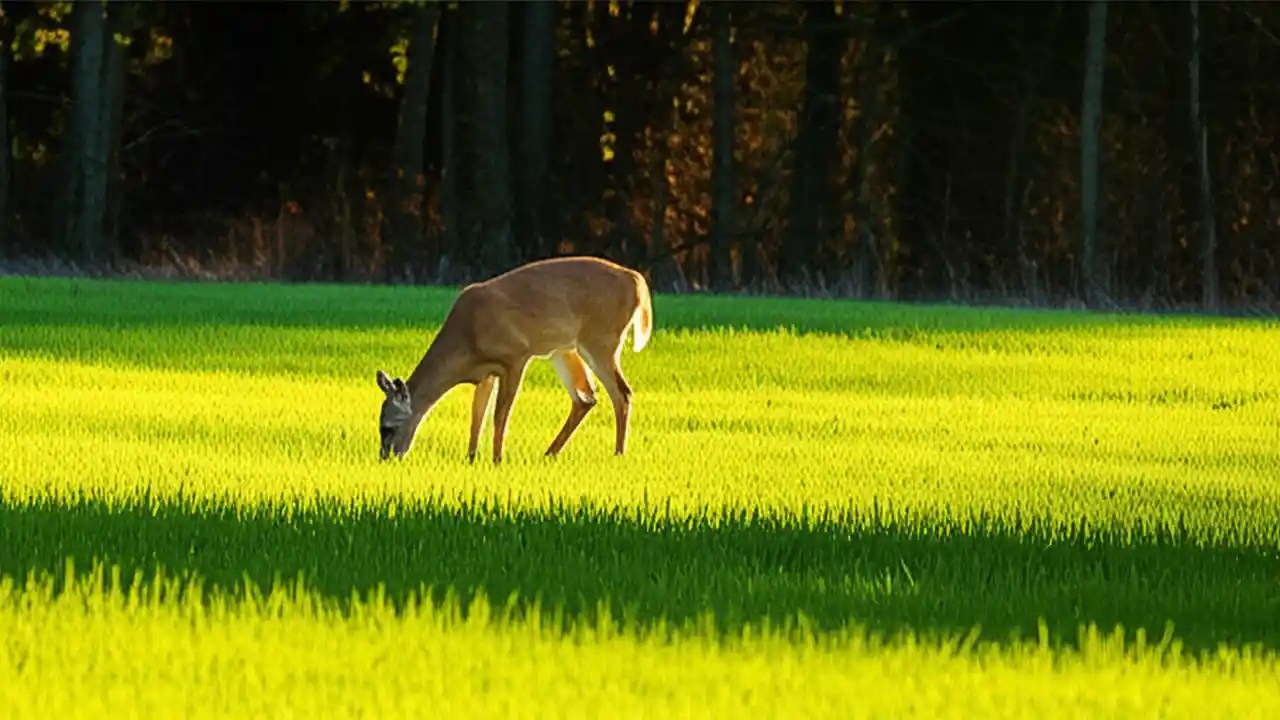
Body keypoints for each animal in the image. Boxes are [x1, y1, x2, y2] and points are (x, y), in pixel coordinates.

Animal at [375, 255, 654, 464]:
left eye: (388, 427)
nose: (386, 458)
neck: (467, 339)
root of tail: (636, 279)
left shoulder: (516, 356)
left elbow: (500, 414)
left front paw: (497, 460)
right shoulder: (486, 373)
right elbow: (477, 416)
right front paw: (471, 458)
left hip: (601, 340)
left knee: (621, 393)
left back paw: (618, 454)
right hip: (564, 349)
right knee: (586, 398)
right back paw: (550, 453)